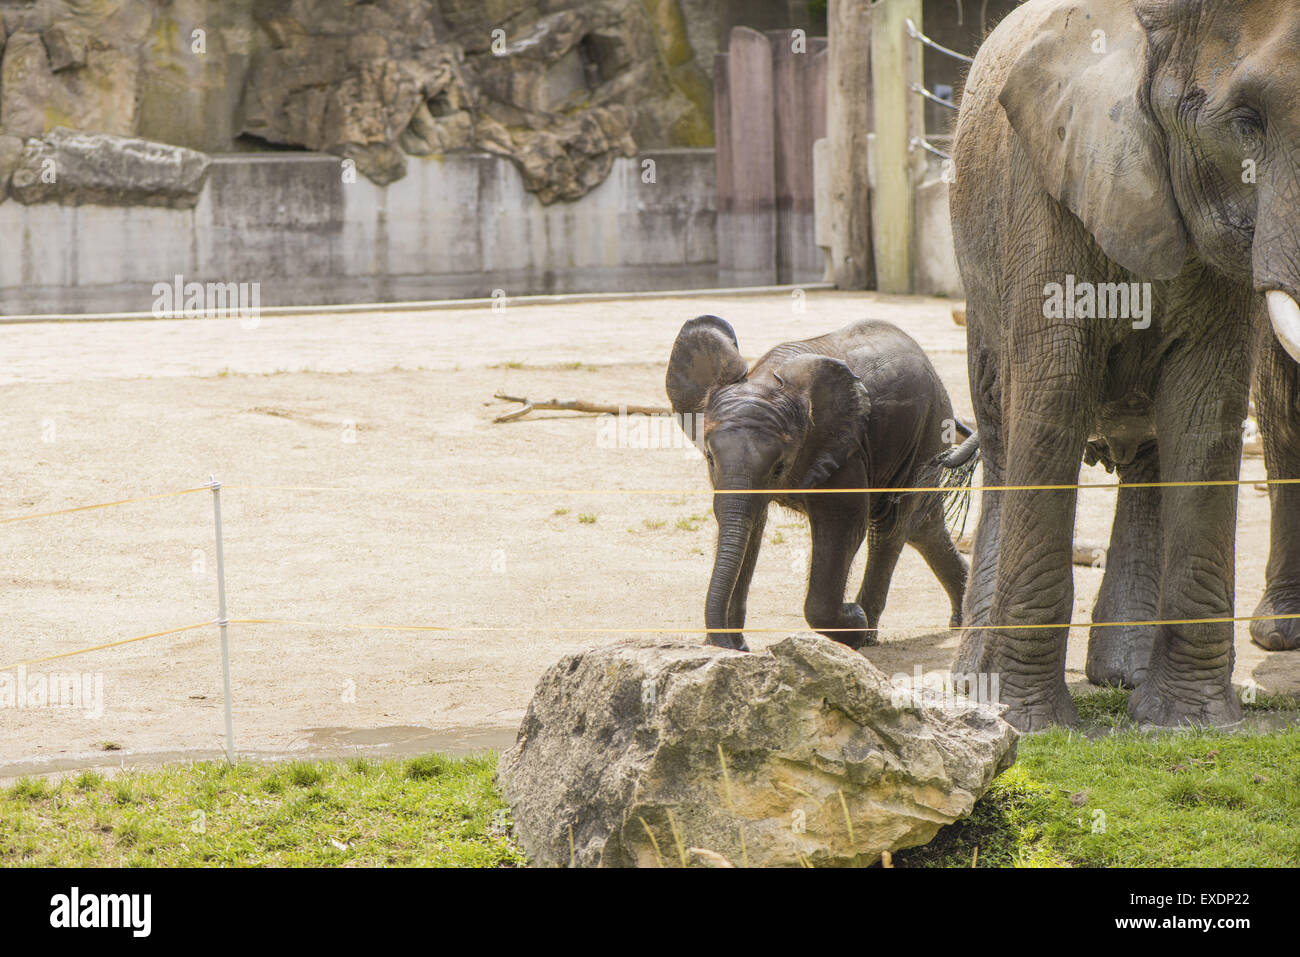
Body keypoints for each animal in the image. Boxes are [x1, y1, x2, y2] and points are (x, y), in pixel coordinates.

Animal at [666, 316, 977, 652]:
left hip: (927, 432)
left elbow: (842, 524)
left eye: (780, 467)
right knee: (923, 528)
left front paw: (852, 620)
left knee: (890, 527)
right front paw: (726, 648)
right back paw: (961, 619)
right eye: (710, 458)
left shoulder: (846, 449)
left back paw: (868, 632)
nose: (733, 644)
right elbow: (749, 524)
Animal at [949, 0, 1300, 730]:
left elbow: (1205, 408)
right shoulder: (1045, 193)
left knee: (1149, 451)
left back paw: (1124, 674)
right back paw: (974, 685)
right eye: (1246, 124)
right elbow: (1053, 398)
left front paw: (1186, 722)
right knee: (1002, 436)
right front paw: (1027, 724)